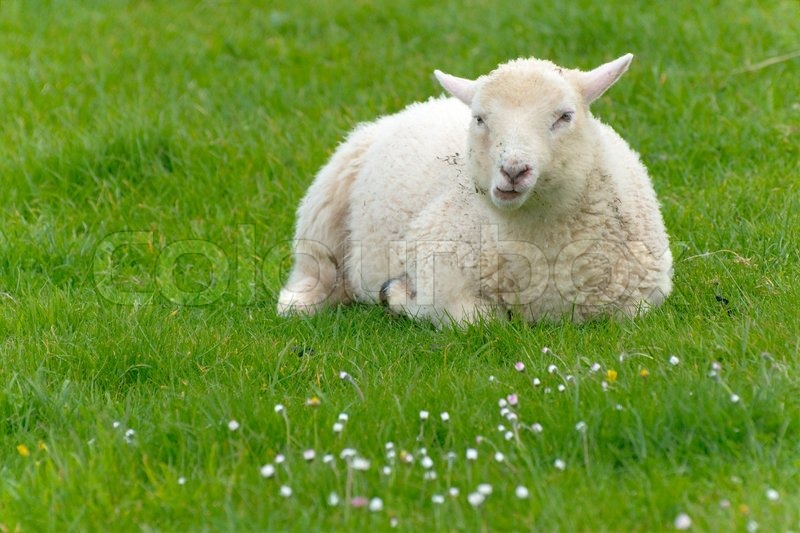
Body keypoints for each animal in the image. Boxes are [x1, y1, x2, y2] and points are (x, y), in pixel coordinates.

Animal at [277, 53, 673, 326]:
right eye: (480, 119)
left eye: (565, 117)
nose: (513, 171)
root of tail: (421, 104)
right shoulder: (436, 262)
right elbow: (479, 320)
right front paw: (397, 297)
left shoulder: (642, 299)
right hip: (323, 208)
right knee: (314, 271)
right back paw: (302, 304)